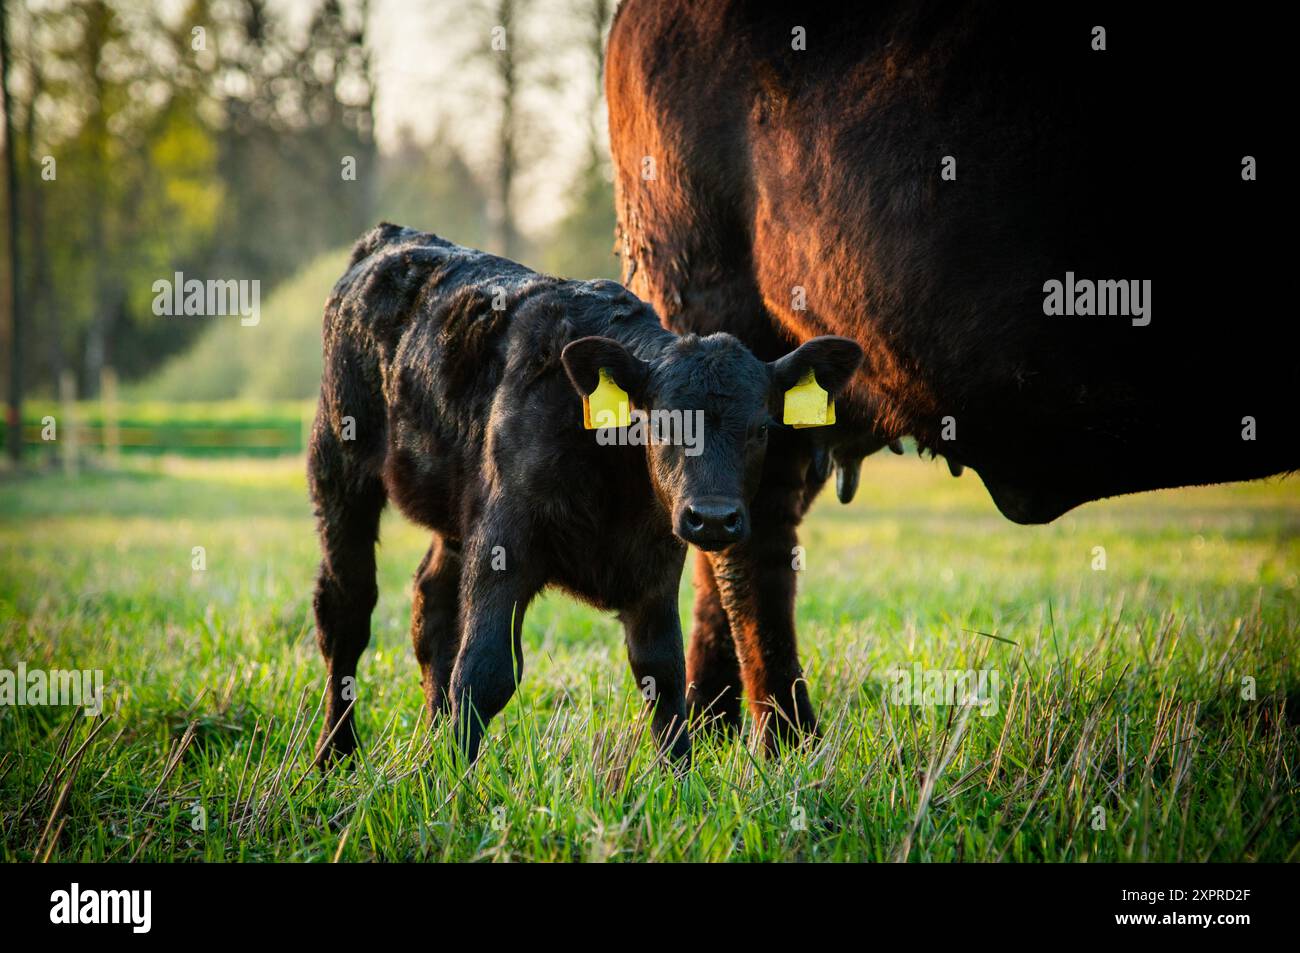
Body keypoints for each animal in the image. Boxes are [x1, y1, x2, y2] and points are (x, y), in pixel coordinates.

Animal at [308, 223, 862, 767]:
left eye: (762, 428)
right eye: (661, 424)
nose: (713, 518)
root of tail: (390, 239)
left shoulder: (657, 564)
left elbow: (663, 672)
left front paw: (678, 777)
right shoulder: (504, 541)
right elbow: (486, 669)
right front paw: (456, 780)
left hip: (457, 515)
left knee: (431, 606)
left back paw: (428, 741)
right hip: (338, 464)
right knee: (346, 610)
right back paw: (336, 755)